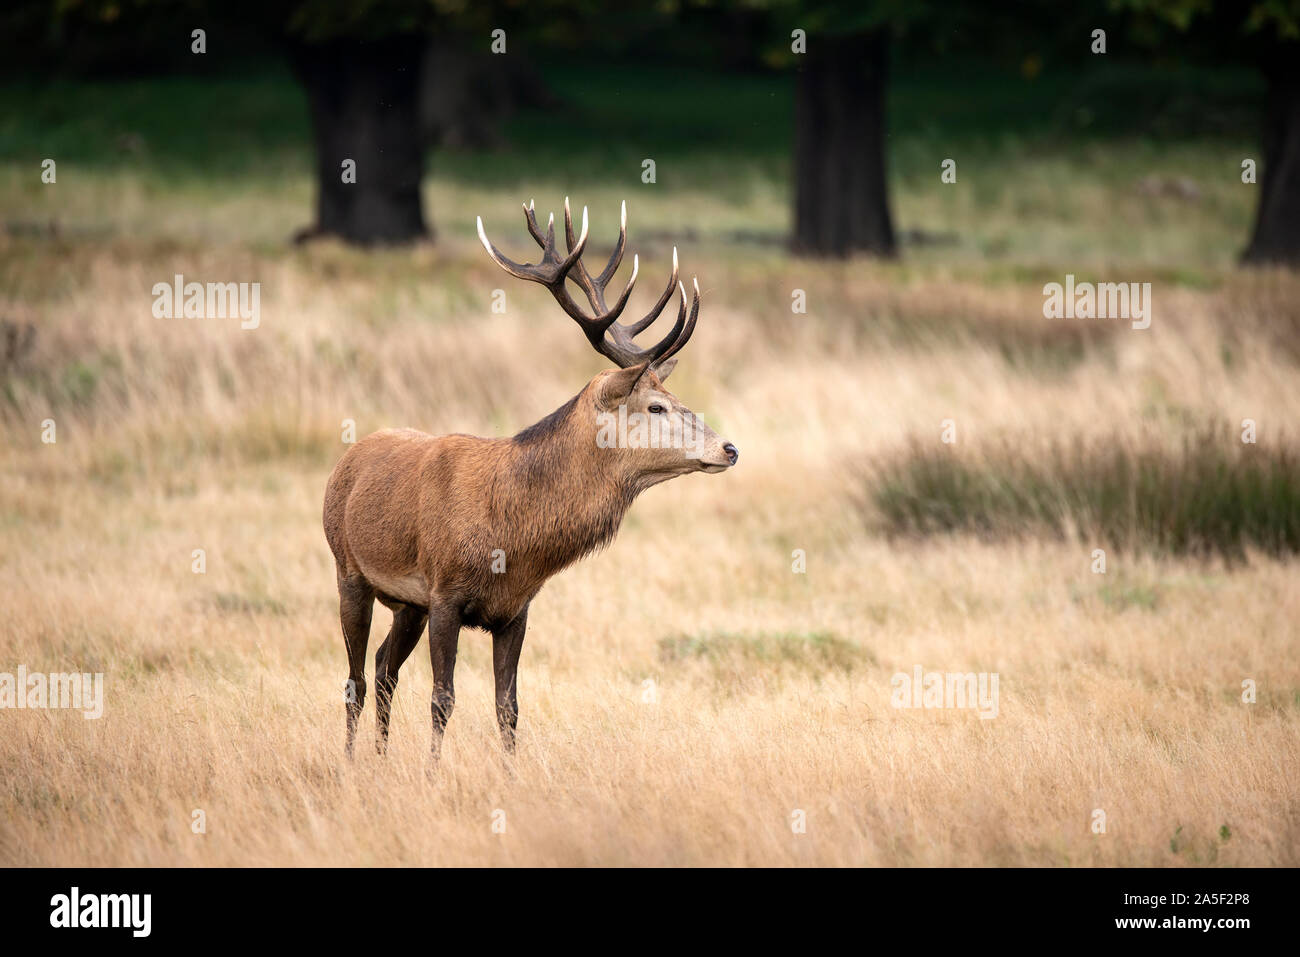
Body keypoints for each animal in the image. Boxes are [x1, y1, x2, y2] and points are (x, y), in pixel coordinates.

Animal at [322, 198, 739, 760]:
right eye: (655, 406)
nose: (729, 448)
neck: (512, 540)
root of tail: (346, 460)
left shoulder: (515, 608)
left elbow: (509, 707)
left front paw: (509, 773)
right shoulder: (445, 592)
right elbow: (443, 699)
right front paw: (432, 773)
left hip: (408, 604)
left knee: (385, 667)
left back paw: (382, 761)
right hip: (349, 568)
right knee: (357, 679)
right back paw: (350, 764)